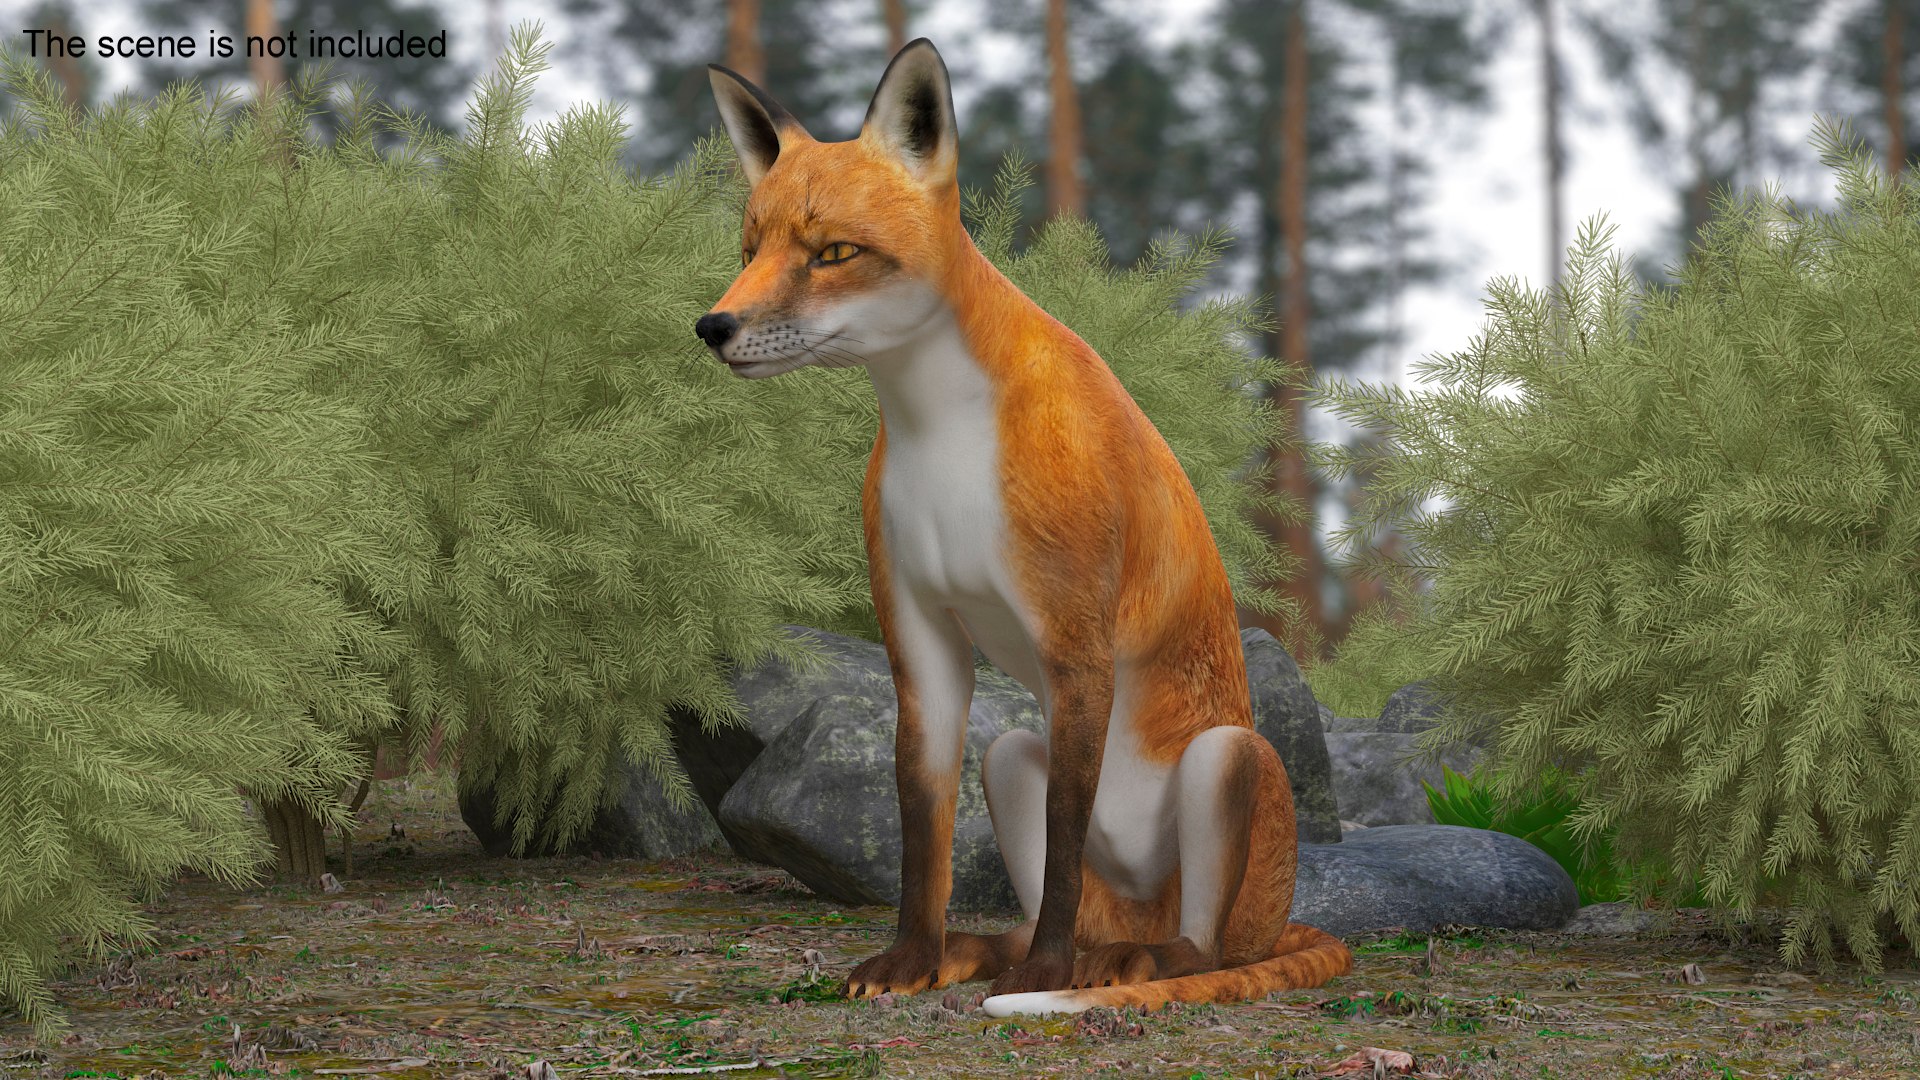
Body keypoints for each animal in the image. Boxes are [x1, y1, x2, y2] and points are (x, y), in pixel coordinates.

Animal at [694, 40, 1353, 1016]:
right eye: (751, 250)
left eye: (834, 253)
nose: (714, 326)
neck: (943, 438)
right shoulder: (921, 645)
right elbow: (922, 831)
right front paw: (913, 960)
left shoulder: (1076, 644)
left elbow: (1065, 830)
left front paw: (1044, 979)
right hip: (1011, 756)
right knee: (1061, 892)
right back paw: (991, 951)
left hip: (1225, 762)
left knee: (1199, 945)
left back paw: (1116, 963)